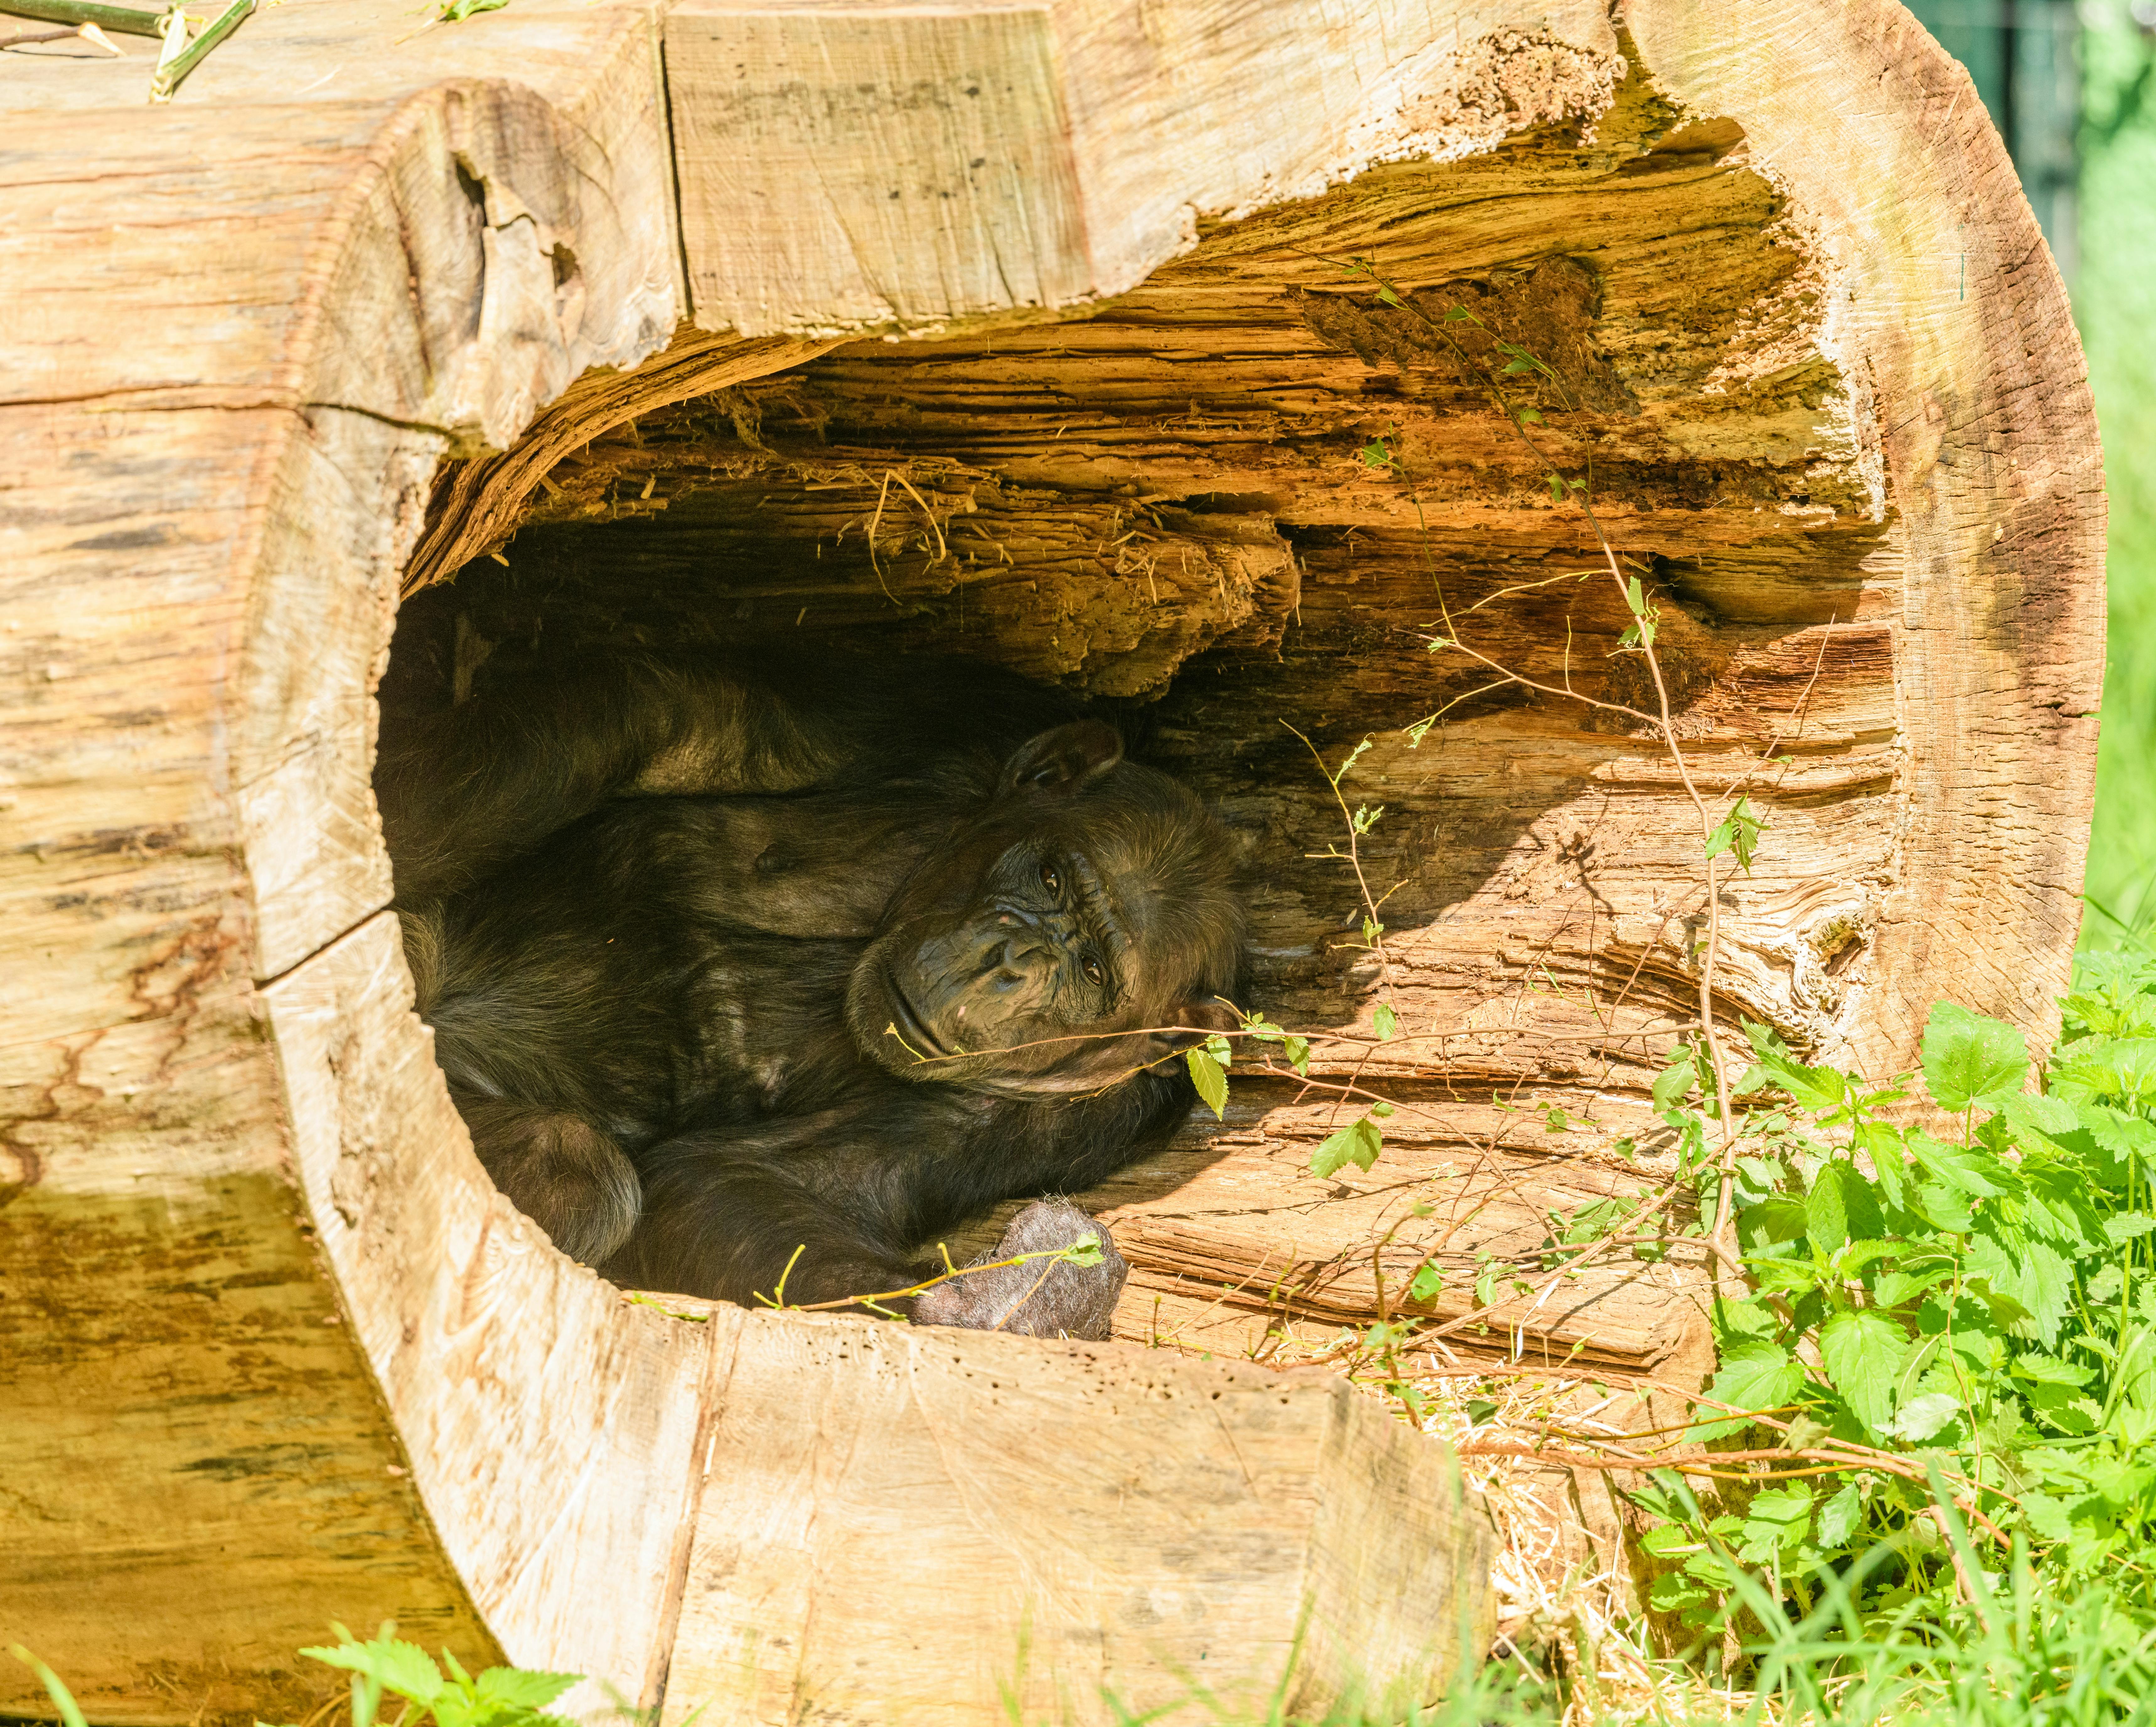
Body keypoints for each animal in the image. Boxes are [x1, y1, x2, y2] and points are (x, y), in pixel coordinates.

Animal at [374, 650, 1246, 1337]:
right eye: (1051, 876)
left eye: (1095, 971)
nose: (1014, 963)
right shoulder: (957, 715)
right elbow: (650, 713)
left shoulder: (1077, 1116)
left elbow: (739, 1172)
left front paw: (1007, 1302)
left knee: (576, 1172)